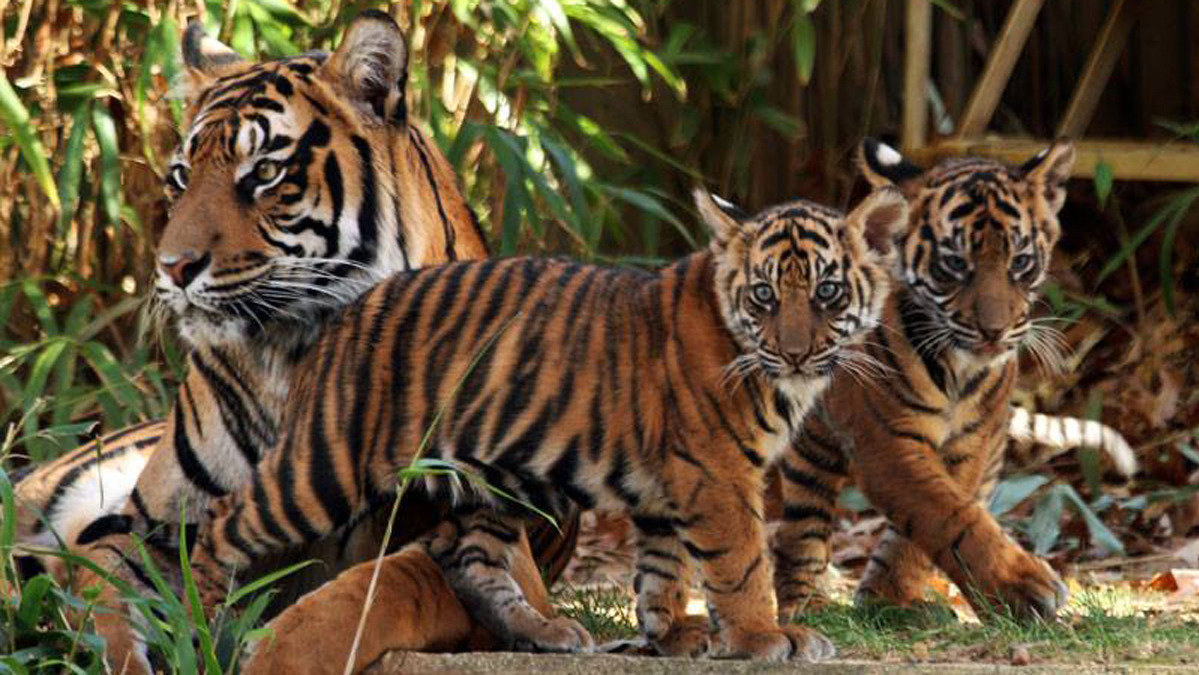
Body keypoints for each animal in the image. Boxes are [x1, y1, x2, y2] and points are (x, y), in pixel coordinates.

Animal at [5, 11, 575, 673]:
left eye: (265, 173)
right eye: (182, 177)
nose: (171, 268)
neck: (292, 361)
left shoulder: (499, 558)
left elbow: (382, 586)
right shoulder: (145, 527)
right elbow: (108, 603)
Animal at [184, 185, 911, 662]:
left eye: (827, 292)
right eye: (762, 295)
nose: (795, 351)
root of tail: (344, 312)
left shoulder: (667, 487)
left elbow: (663, 569)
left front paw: (674, 635)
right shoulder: (718, 475)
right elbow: (740, 563)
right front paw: (764, 637)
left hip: (495, 482)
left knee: (470, 561)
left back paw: (542, 632)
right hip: (325, 463)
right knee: (222, 521)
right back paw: (206, 623)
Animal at [769, 138, 1134, 623]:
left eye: (1021, 262)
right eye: (954, 265)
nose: (994, 331)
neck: (958, 370)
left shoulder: (970, 447)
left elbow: (939, 519)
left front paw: (891, 598)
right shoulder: (885, 441)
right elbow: (944, 514)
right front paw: (1024, 588)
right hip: (813, 447)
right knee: (802, 526)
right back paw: (804, 605)